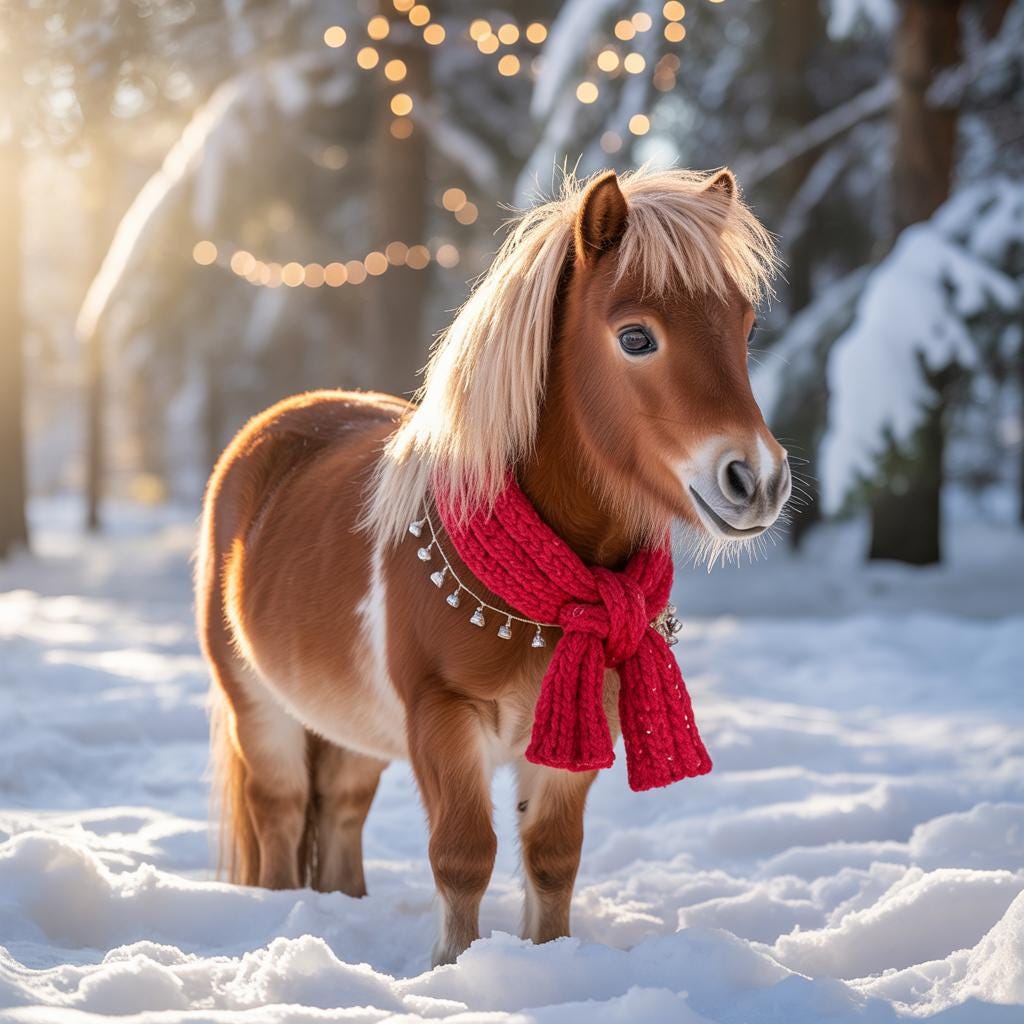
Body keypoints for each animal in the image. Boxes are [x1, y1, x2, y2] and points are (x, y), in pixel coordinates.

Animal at [196, 166, 791, 966]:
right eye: (637, 337)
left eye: (746, 328)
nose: (756, 479)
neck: (558, 593)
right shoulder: (443, 720)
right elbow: (463, 857)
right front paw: (453, 969)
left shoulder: (578, 731)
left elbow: (552, 859)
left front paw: (547, 960)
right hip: (258, 706)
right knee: (283, 814)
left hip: (353, 727)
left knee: (343, 813)